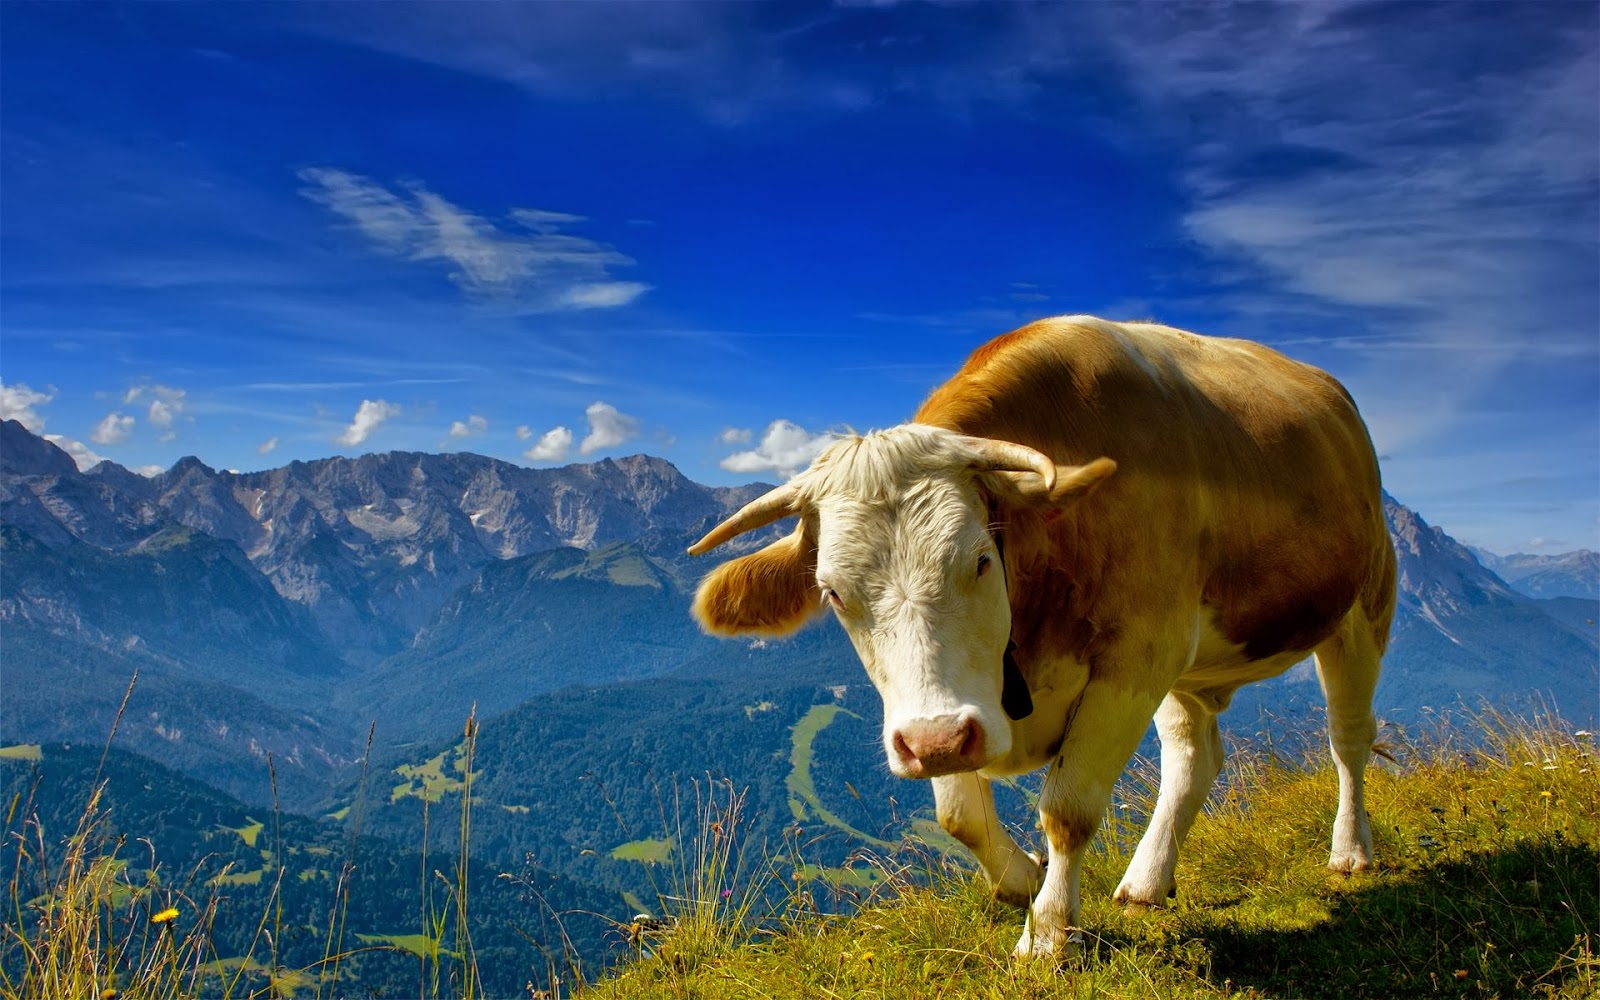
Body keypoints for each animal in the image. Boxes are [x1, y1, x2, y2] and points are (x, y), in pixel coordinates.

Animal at [687, 315, 1396, 958]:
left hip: (1363, 608)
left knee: (1349, 739)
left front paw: (1050, 933)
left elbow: (1068, 809)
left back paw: (1351, 850)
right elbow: (958, 815)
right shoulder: (965, 706)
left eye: (980, 560)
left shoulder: (1137, 658)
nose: (935, 742)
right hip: (1191, 668)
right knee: (1194, 757)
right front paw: (1024, 879)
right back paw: (1147, 881)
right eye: (833, 592)